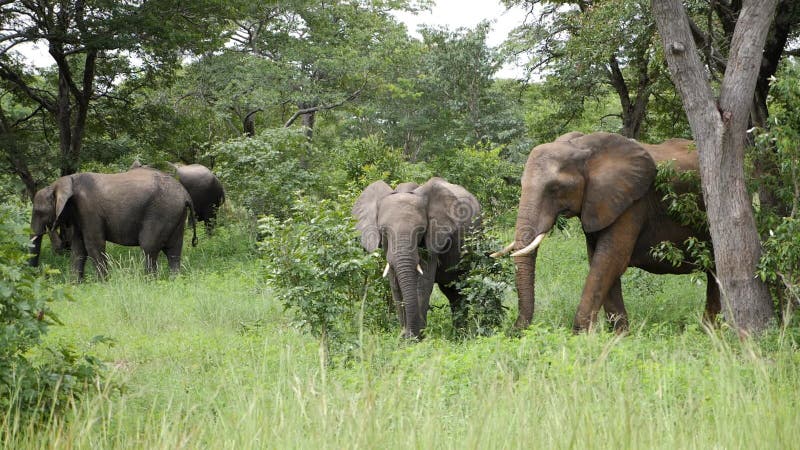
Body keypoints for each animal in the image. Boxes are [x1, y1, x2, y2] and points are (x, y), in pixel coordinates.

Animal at [29, 167, 197, 280]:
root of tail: (186, 195)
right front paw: (75, 285)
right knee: (173, 251)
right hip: (176, 214)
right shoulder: (79, 214)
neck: (63, 183)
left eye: (38, 211)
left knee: (149, 247)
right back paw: (174, 281)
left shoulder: (88, 209)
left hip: (162, 212)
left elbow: (93, 245)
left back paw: (148, 282)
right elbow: (78, 248)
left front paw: (103, 284)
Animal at [353, 177, 481, 339]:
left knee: (461, 288)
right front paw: (404, 338)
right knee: (452, 292)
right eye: (384, 231)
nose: (408, 335)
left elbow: (423, 285)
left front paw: (416, 339)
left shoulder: (434, 238)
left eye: (420, 230)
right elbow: (395, 286)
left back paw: (461, 335)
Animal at [494, 131, 719, 332]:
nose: (516, 331)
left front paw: (581, 336)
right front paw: (618, 337)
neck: (583, 147)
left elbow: (610, 260)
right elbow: (599, 260)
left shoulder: (632, 203)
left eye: (555, 188)